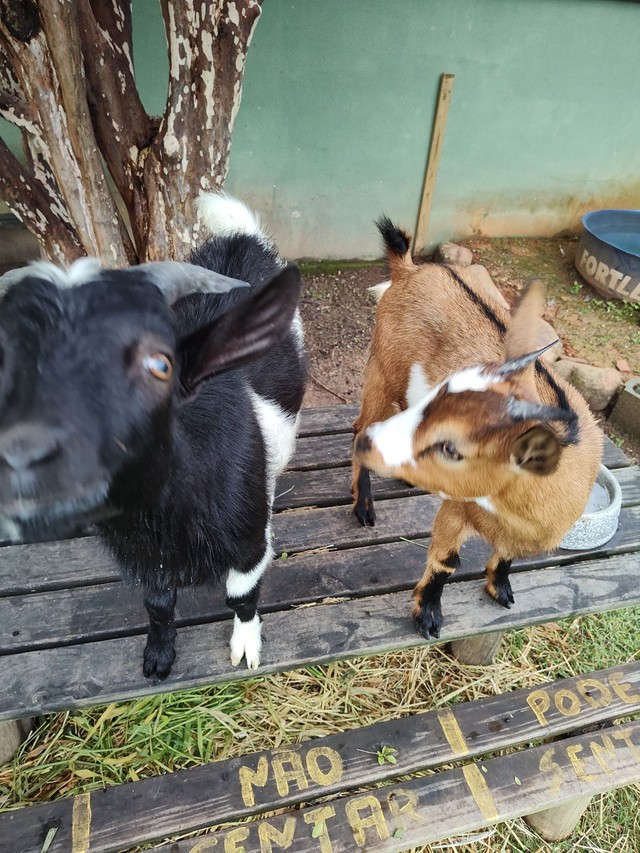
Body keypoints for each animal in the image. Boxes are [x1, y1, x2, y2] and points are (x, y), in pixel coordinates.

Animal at [0, 194, 307, 679]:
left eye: (157, 366)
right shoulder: (145, 558)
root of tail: (242, 240)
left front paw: (245, 646)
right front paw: (159, 655)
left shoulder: (246, 537)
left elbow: (241, 592)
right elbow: (158, 604)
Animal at [352, 217, 603, 639]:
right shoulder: (457, 509)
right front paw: (428, 615)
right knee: (359, 427)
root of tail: (411, 269)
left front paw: (501, 588)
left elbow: (505, 557)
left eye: (453, 448)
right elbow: (446, 561)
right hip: (381, 370)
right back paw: (364, 505)